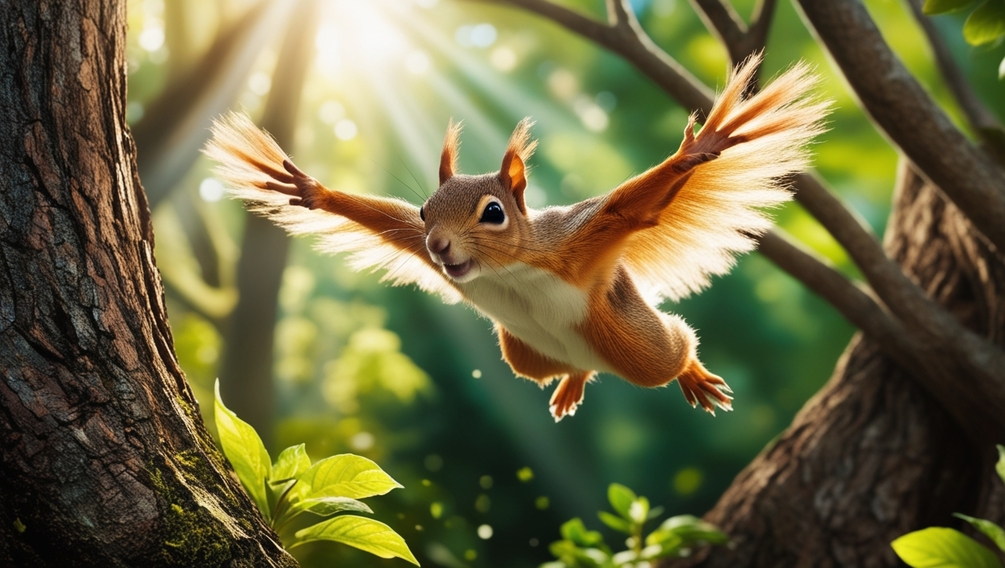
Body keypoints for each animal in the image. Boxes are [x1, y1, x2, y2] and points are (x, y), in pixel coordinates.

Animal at [206, 53, 828, 421]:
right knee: (567, 367)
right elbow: (382, 219)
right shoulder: (411, 237)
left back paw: (693, 374)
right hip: (523, 352)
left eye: (494, 213)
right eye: (425, 212)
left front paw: (698, 149)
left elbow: (631, 205)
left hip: (630, 339)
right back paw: (573, 379)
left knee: (671, 350)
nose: (437, 246)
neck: (507, 270)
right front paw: (314, 191)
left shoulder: (582, 238)